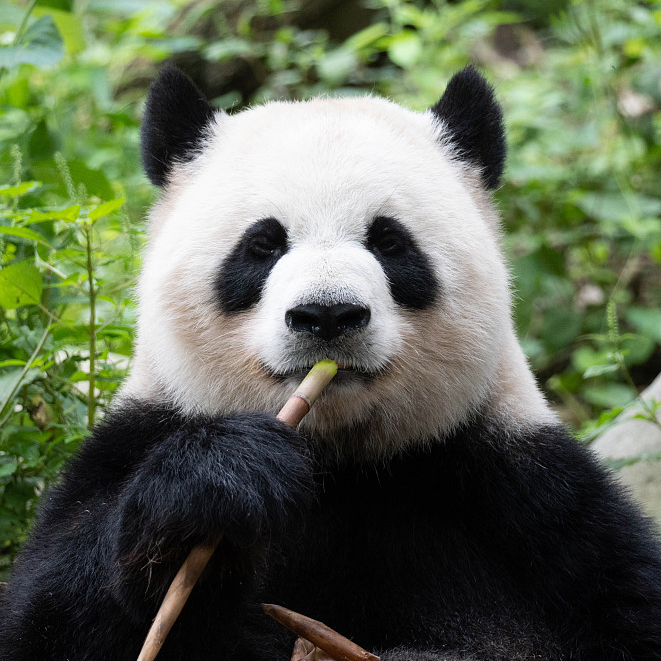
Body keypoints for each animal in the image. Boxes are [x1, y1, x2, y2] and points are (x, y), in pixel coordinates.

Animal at [2, 64, 661, 661]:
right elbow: (47, 616)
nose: (327, 315)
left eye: (389, 241)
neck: (337, 460)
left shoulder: (524, 494)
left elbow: (617, 606)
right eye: (263, 244)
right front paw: (222, 479)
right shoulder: (135, 441)